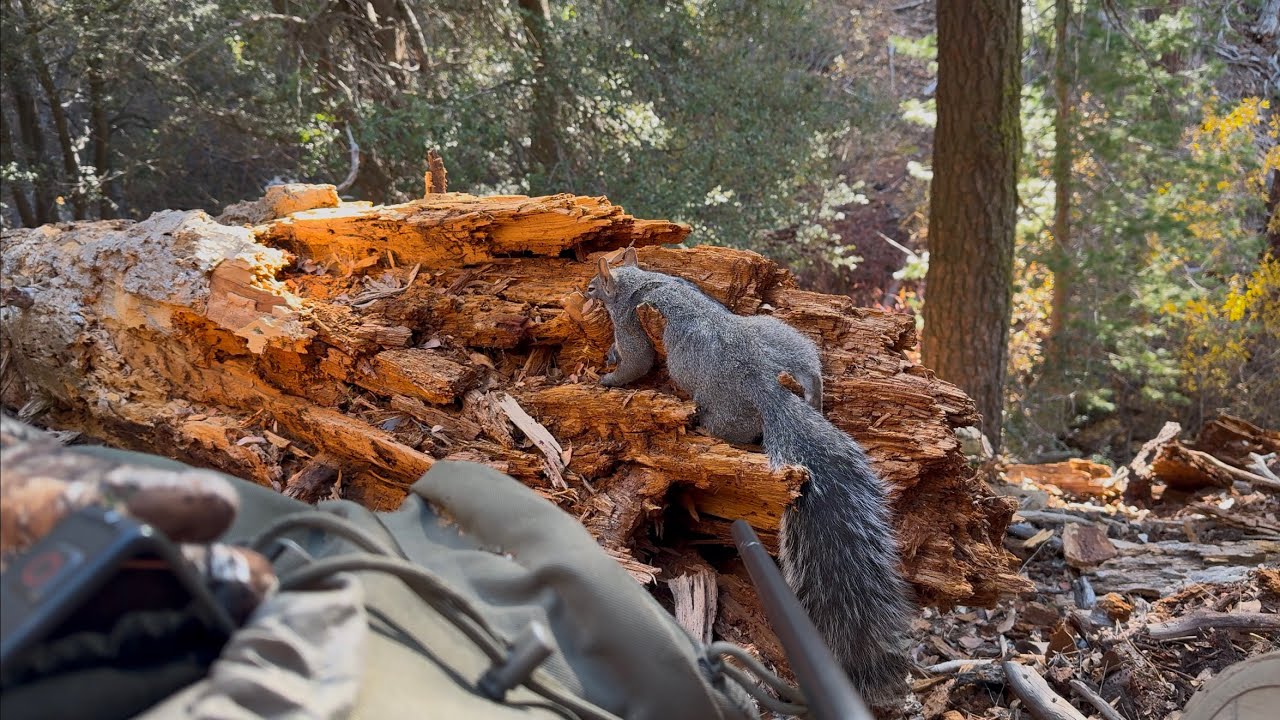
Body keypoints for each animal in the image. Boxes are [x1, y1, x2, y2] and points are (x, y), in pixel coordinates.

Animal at [586, 248, 912, 705]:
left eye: (594, 285)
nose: (583, 290)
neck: (641, 280)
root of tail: (767, 390)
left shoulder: (630, 320)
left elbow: (637, 359)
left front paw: (609, 376)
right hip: (786, 340)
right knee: (811, 377)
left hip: (722, 414)